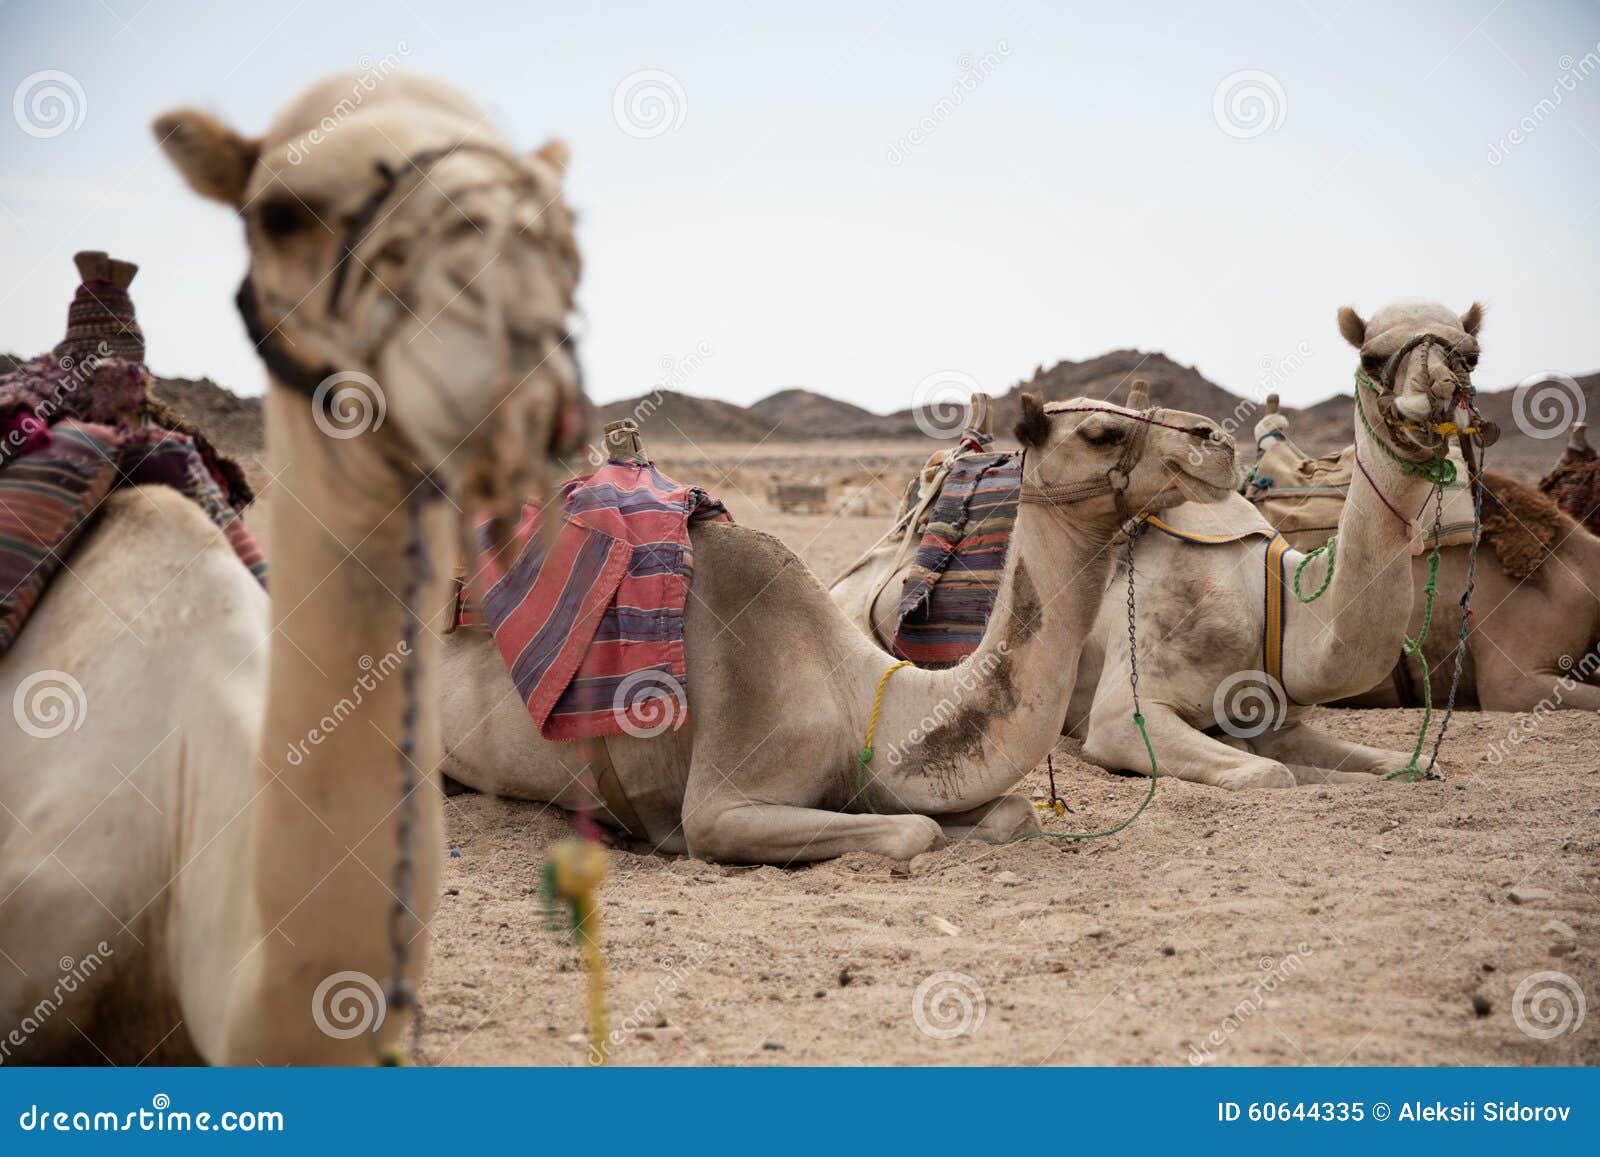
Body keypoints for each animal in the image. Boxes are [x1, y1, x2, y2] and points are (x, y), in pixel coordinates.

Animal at [437, 394, 1238, 864]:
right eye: (1103, 431)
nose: (1217, 440)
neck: (858, 692)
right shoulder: (722, 806)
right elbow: (914, 832)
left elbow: (1012, 813)